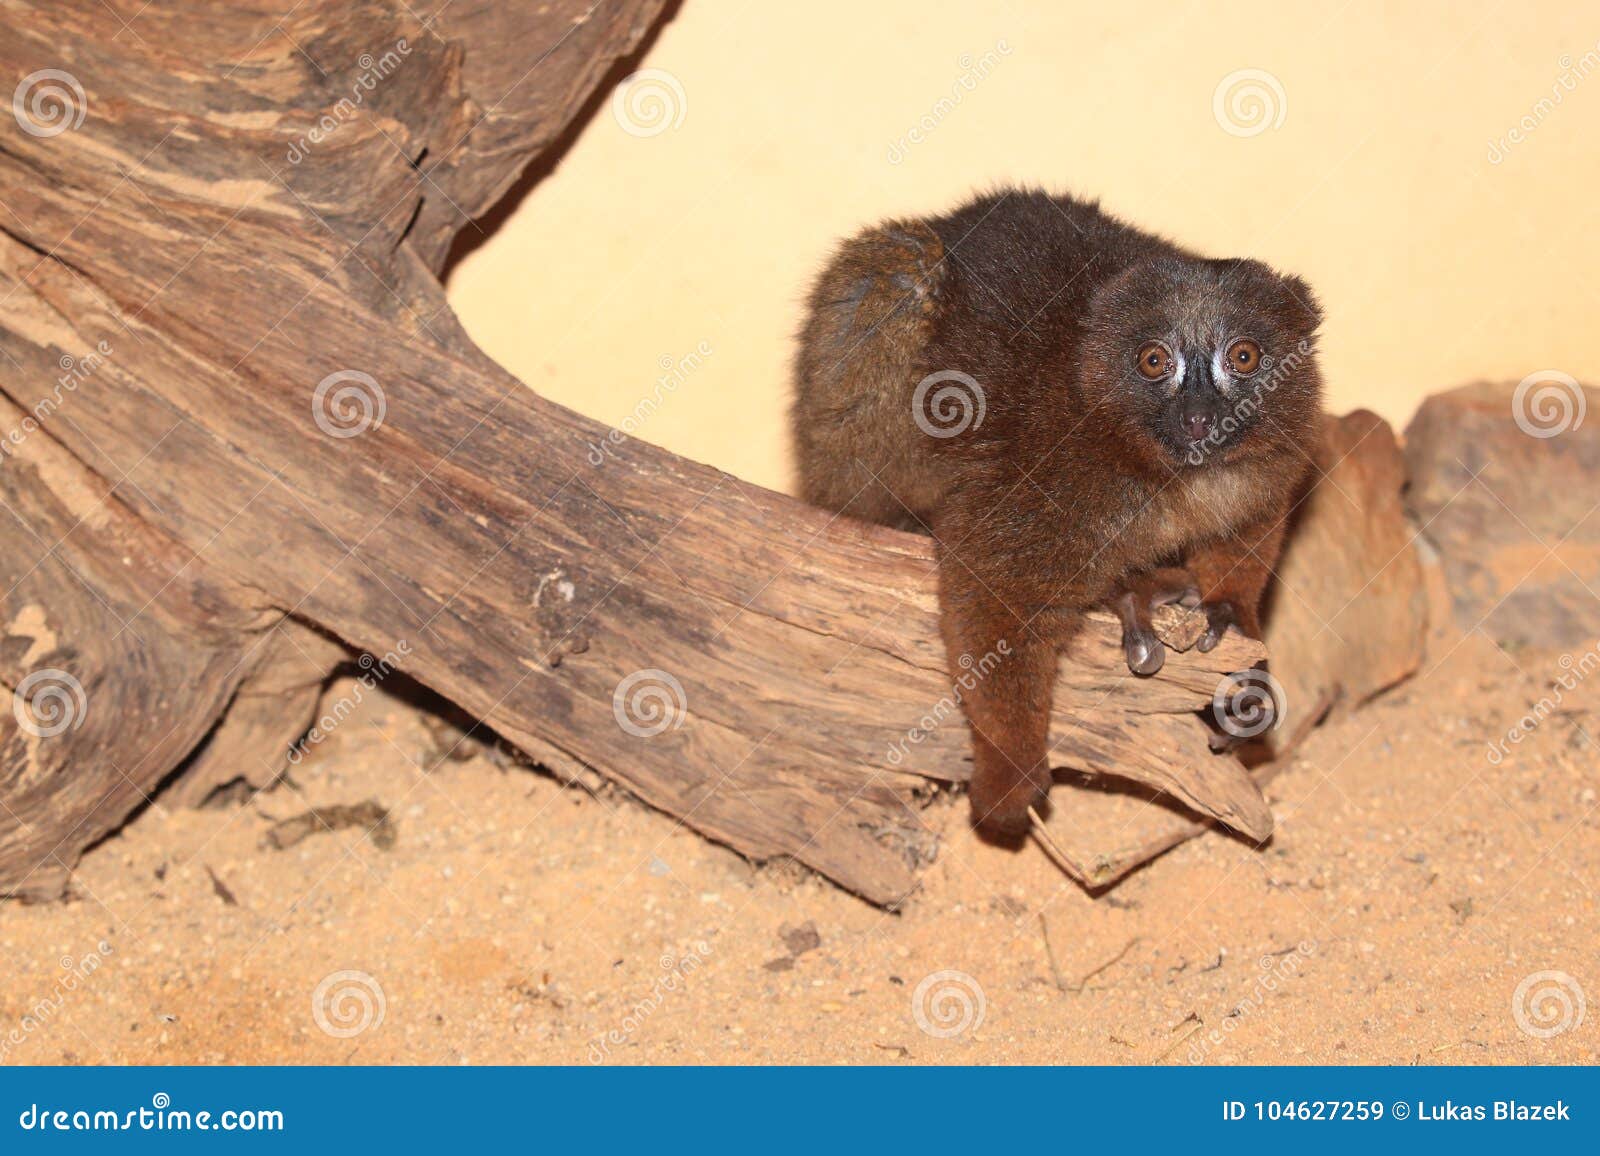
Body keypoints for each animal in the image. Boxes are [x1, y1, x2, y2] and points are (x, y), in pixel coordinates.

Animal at [791, 187, 1323, 841]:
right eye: (1154, 361)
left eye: (1244, 357)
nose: (1198, 416)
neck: (1165, 468)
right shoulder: (1050, 484)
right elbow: (991, 590)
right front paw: (1010, 771)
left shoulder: (1277, 458)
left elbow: (1252, 527)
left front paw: (1233, 614)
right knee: (899, 268)